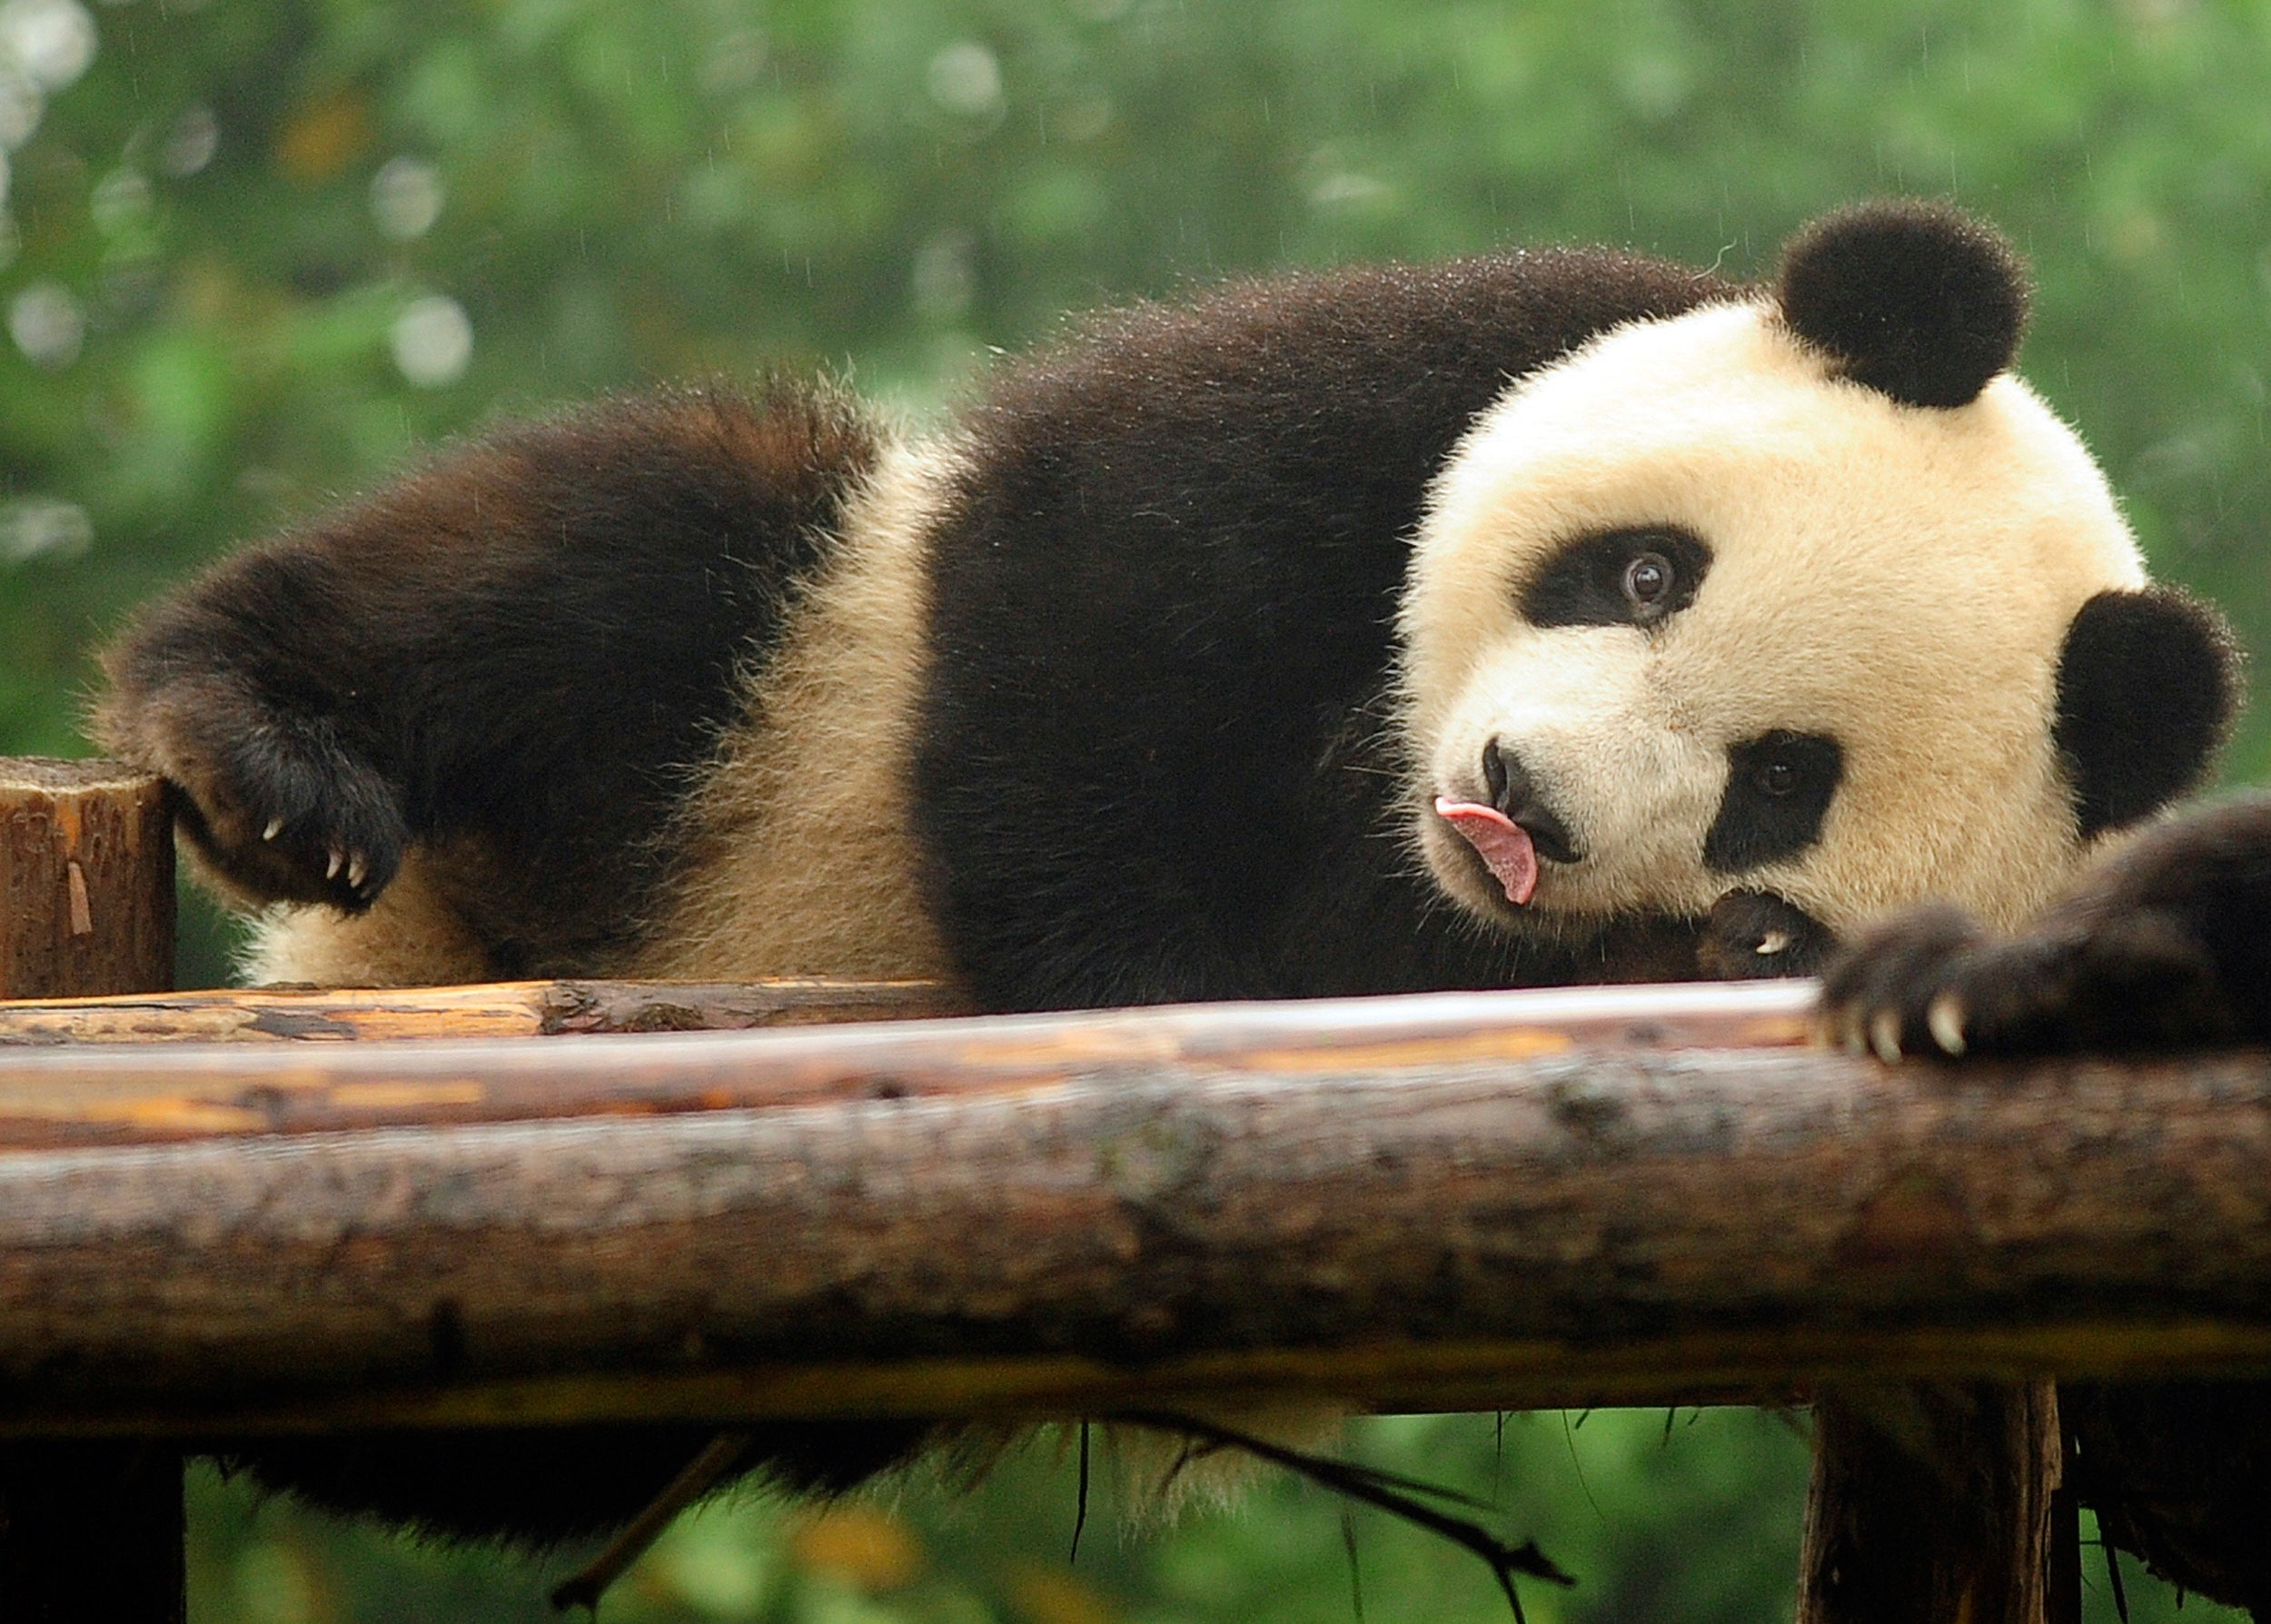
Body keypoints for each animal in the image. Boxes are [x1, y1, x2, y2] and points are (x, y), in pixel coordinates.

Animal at [92, 201, 2250, 1581]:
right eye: (1643, 574)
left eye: (1773, 792)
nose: (1522, 806)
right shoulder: (1435, 367)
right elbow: (1099, 576)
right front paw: (1126, 1003)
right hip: (764, 694)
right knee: (631, 545)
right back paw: (264, 748)